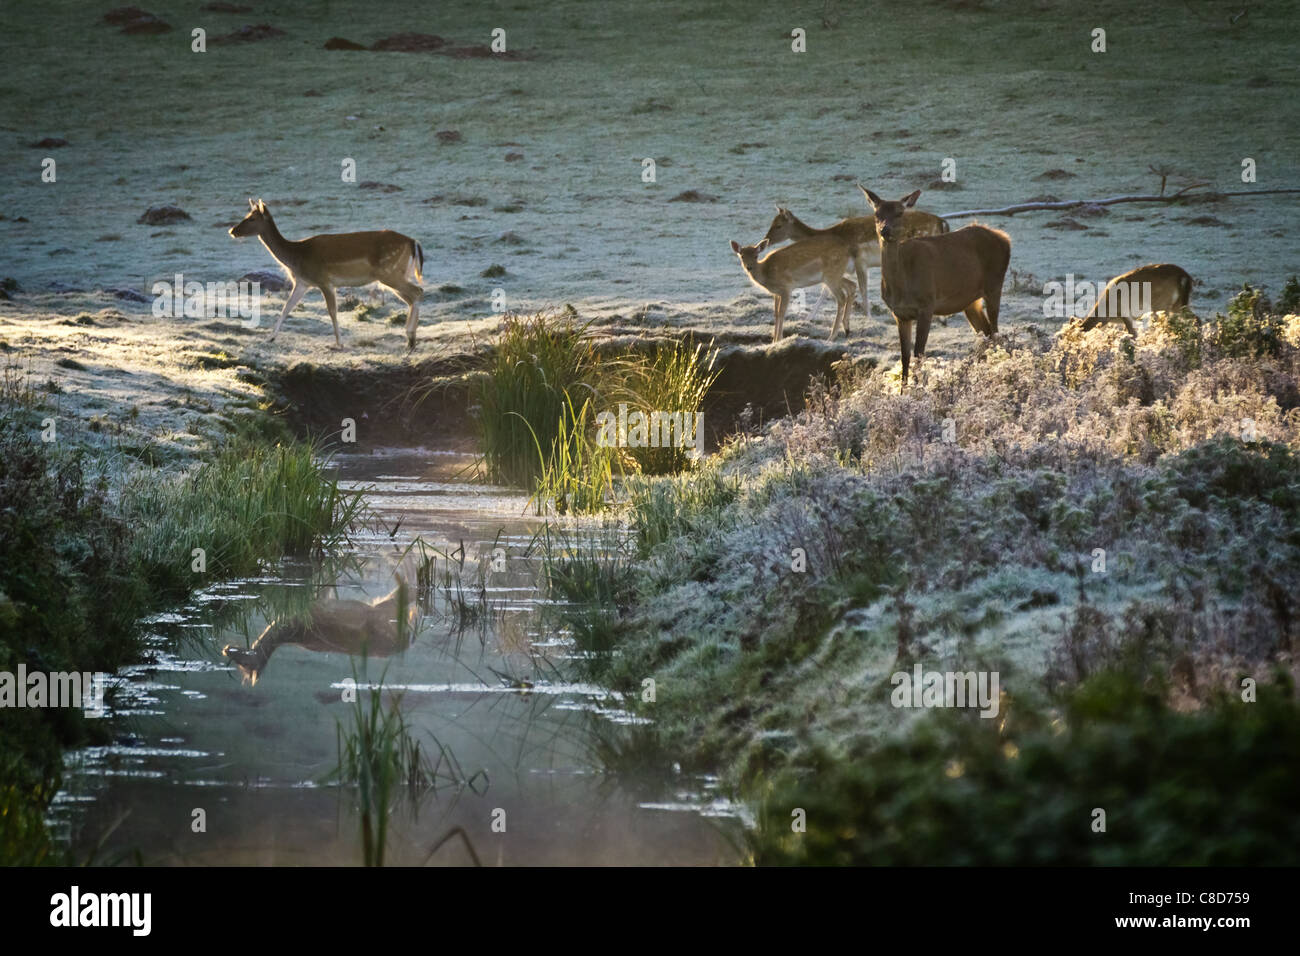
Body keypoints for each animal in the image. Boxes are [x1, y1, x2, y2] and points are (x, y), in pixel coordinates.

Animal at [228, 198, 425, 349]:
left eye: (252, 218)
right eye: (246, 215)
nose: (232, 231)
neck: (296, 256)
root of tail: (413, 242)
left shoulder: (324, 280)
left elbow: (332, 311)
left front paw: (339, 343)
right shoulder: (303, 283)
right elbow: (286, 308)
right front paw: (269, 338)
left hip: (389, 272)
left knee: (418, 292)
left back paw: (411, 338)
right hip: (395, 275)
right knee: (411, 298)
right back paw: (410, 339)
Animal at [762, 204, 949, 318]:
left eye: (778, 225)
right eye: (772, 222)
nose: (765, 240)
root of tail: (942, 222)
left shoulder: (859, 260)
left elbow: (862, 289)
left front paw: (869, 317)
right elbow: (825, 289)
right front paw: (809, 318)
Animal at [859, 186, 1011, 386]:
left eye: (900, 213)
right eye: (877, 213)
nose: (885, 229)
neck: (902, 287)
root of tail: (1005, 238)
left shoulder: (927, 305)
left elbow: (919, 353)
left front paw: (917, 388)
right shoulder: (899, 314)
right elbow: (904, 356)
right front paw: (903, 389)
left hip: (995, 283)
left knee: (996, 333)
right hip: (970, 301)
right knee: (985, 334)